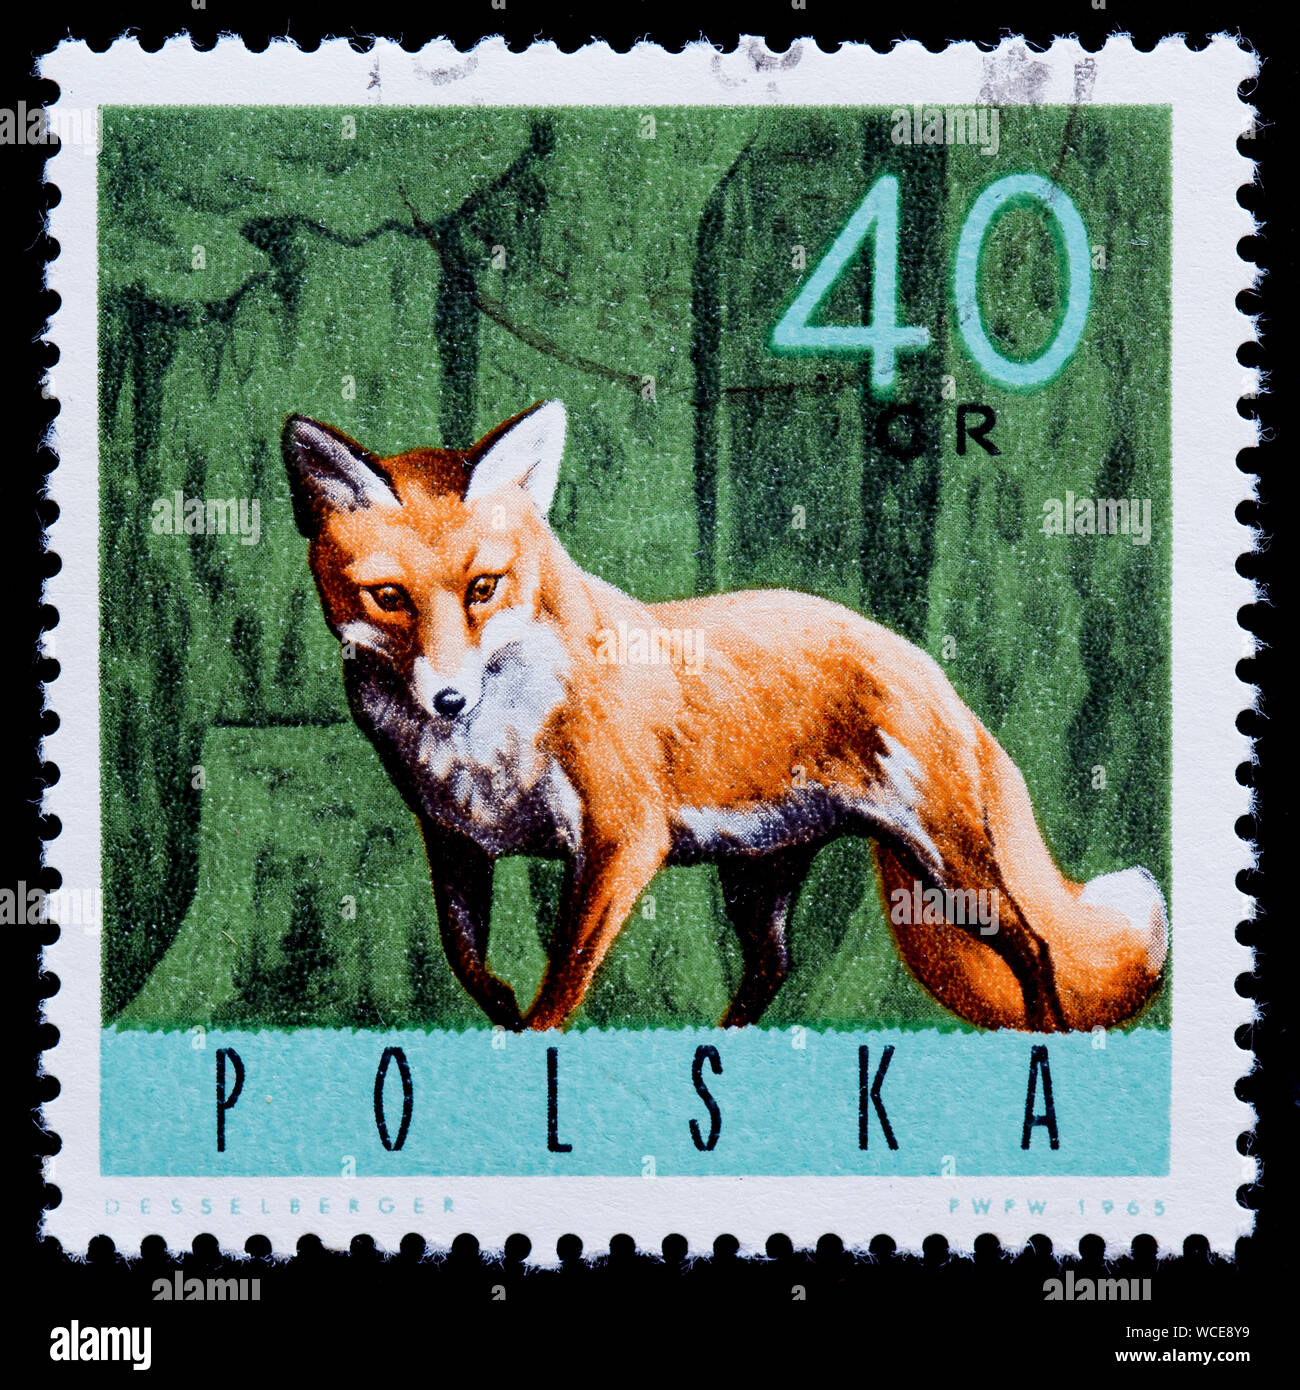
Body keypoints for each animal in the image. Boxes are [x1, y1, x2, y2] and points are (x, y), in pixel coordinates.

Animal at [282, 399, 1169, 1033]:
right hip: (760, 875)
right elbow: (464, 955)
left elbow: (562, 982)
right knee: (774, 966)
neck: (487, 748)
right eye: (389, 597)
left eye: (482, 589)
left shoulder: (622, 841)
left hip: (948, 870)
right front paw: (497, 1006)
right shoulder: (456, 842)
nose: (448, 699)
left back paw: (1050, 1038)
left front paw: (527, 1037)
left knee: (1033, 946)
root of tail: (921, 659)